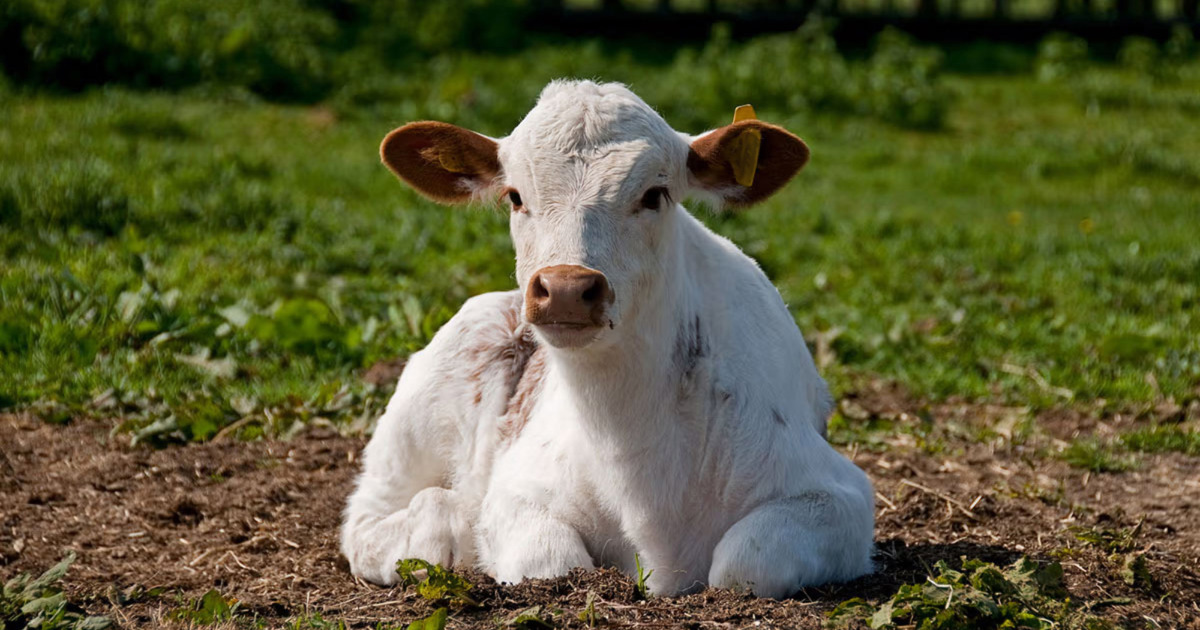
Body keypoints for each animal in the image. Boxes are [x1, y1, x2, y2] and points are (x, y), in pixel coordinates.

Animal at [341, 80, 874, 598]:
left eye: (655, 194)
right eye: (515, 196)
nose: (566, 289)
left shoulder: (840, 495)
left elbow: (745, 563)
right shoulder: (517, 490)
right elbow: (551, 563)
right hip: (419, 415)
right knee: (376, 520)